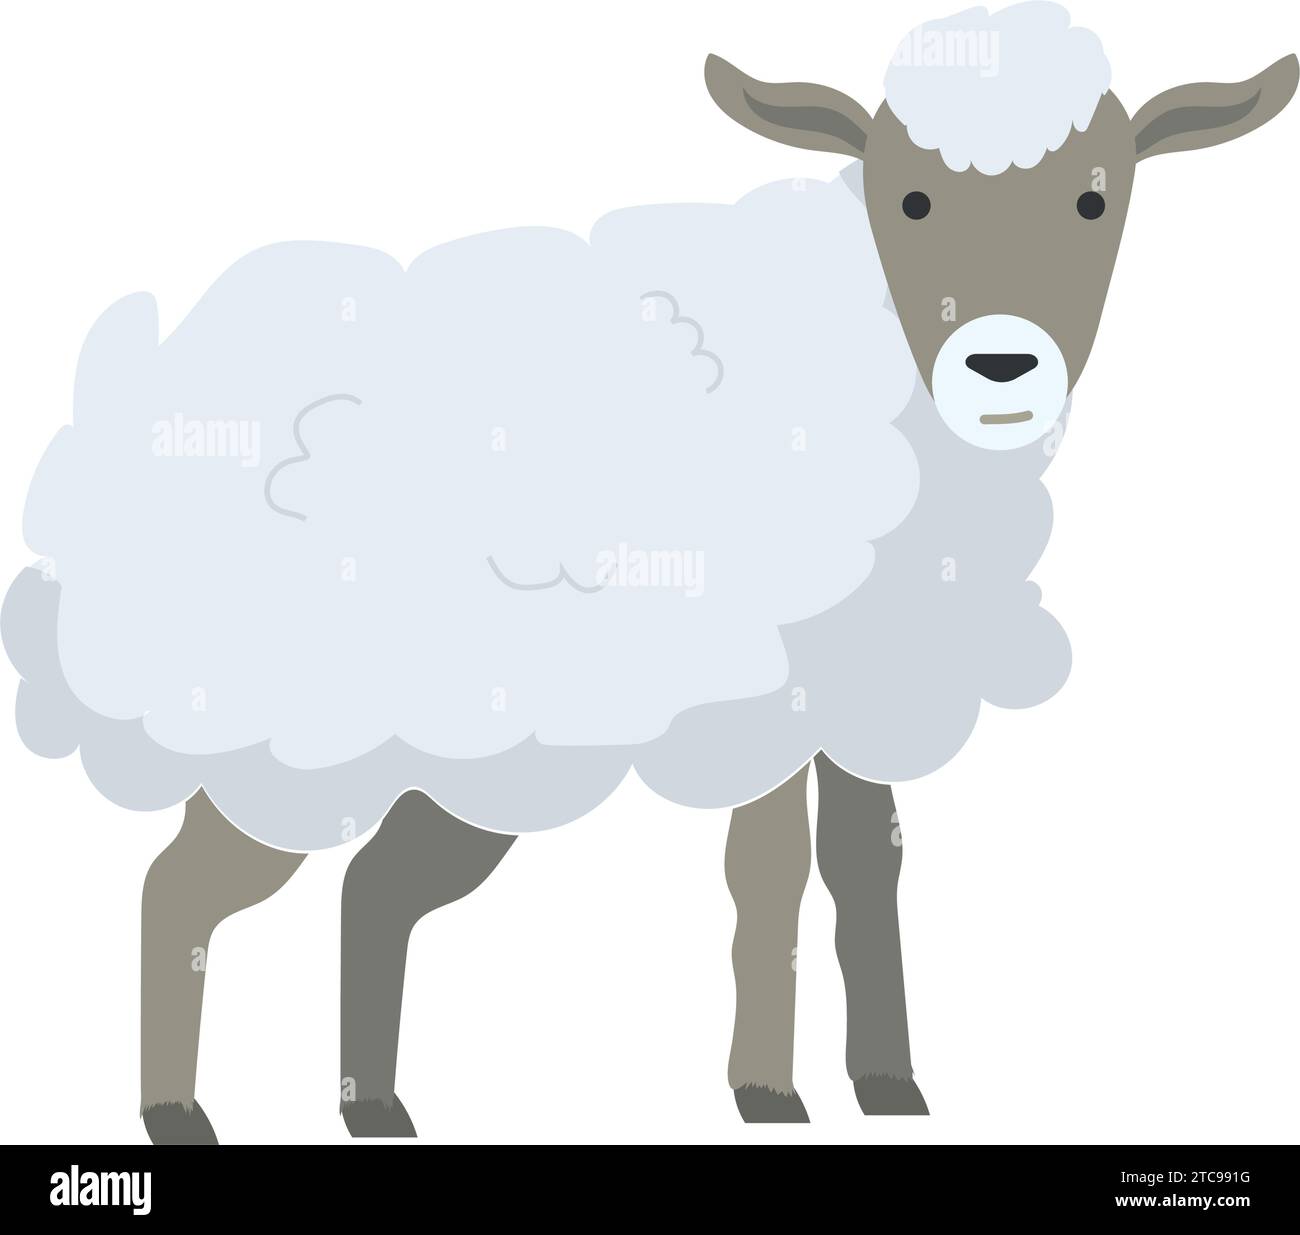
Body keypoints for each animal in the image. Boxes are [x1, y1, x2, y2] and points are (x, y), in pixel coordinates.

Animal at [2, 2, 1294, 1141]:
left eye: (1096, 195)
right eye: (910, 195)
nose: (1000, 366)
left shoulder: (866, 695)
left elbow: (865, 868)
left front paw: (889, 1085)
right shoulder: (766, 704)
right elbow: (770, 877)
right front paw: (768, 1094)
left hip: (467, 766)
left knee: (370, 890)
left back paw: (373, 1108)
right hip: (282, 749)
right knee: (179, 891)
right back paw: (177, 1115)